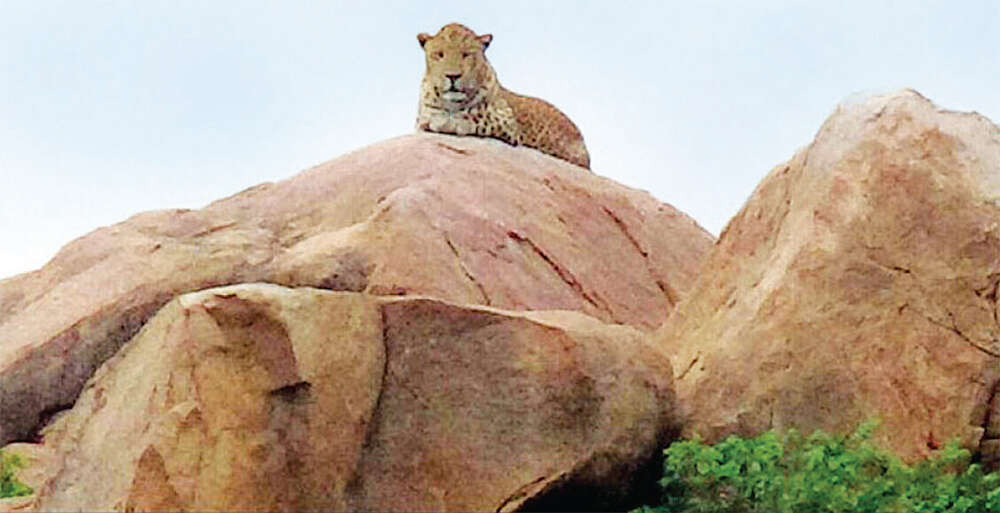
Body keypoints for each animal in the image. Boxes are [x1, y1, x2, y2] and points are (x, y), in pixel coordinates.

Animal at [416, 23, 591, 170]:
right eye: (439, 54)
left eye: (467, 54)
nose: (453, 76)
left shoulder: (506, 120)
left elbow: (478, 117)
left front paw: (448, 122)